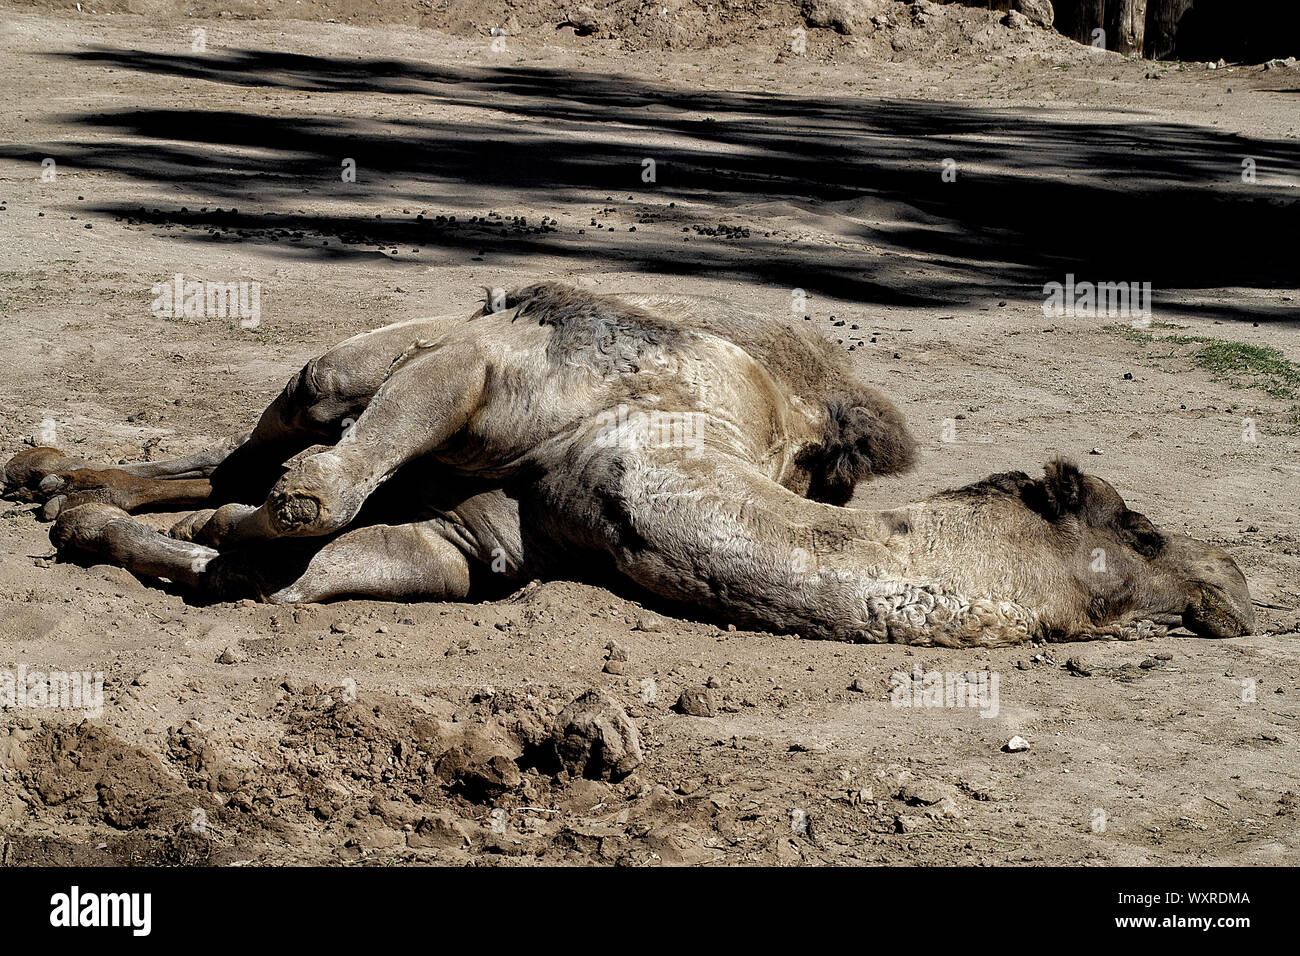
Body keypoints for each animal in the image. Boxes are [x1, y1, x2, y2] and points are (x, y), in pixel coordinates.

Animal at [2, 283, 1254, 646]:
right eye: (1140, 527)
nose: (1237, 586)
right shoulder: (488, 375)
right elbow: (307, 504)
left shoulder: (482, 536)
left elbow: (304, 570)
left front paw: (100, 527)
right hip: (376, 354)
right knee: (286, 419)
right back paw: (49, 469)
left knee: (235, 470)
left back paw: (59, 480)